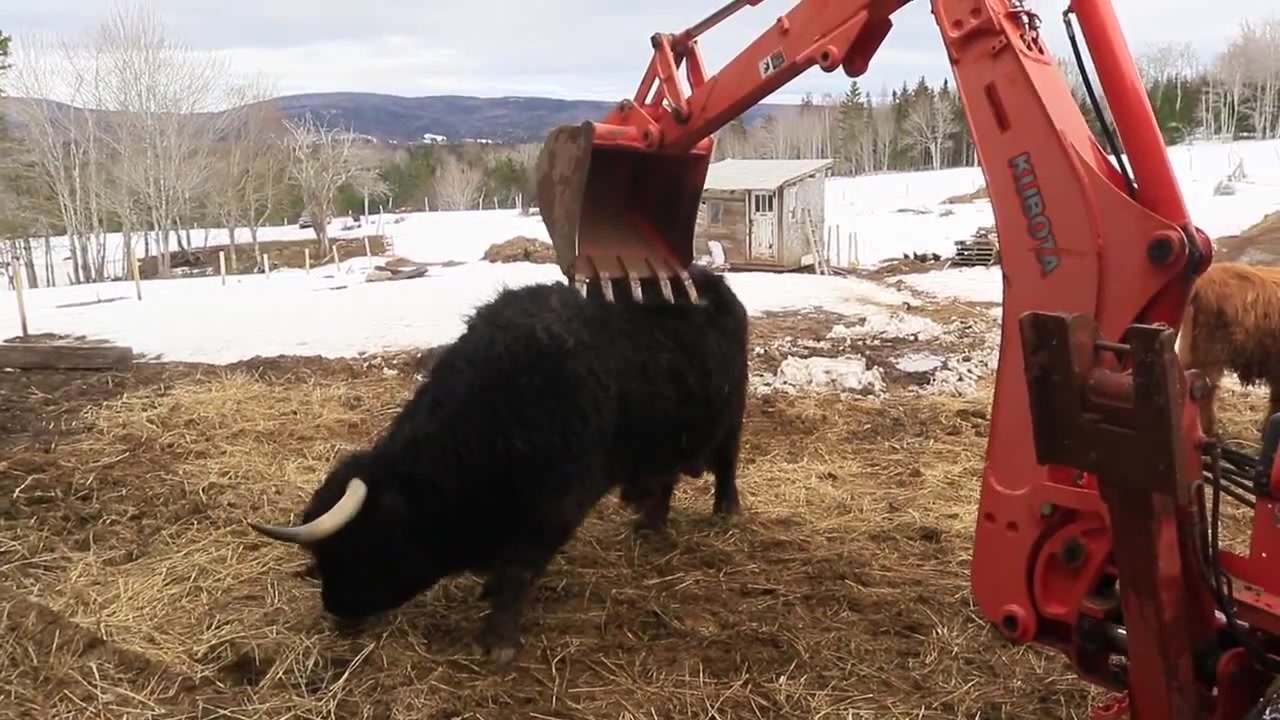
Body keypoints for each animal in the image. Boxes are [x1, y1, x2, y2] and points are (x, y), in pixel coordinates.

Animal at [248, 264, 749, 664]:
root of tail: (711, 281)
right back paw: (650, 524)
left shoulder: (554, 508)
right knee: (665, 477)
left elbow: (517, 571)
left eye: (360, 545)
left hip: (731, 416)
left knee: (725, 463)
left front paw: (498, 640)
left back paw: (724, 510)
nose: (336, 612)